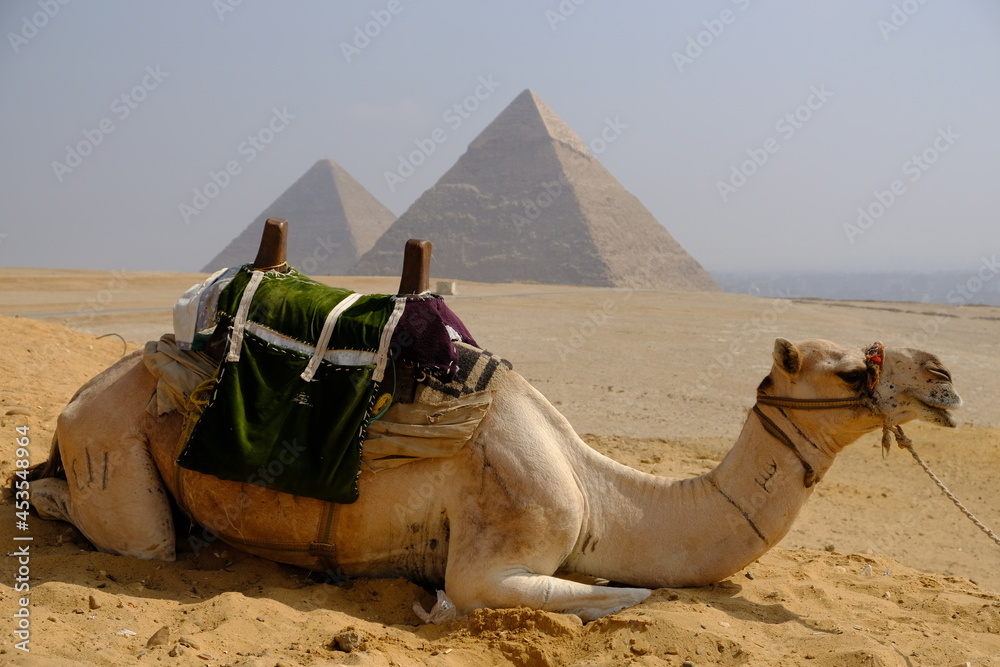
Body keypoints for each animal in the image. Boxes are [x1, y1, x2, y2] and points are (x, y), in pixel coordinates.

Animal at [26, 336, 961, 621]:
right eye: (854, 368)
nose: (948, 380)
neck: (603, 495)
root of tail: (80, 394)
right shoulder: (500, 552)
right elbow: (625, 592)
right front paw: (434, 603)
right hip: (112, 442)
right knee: (130, 531)